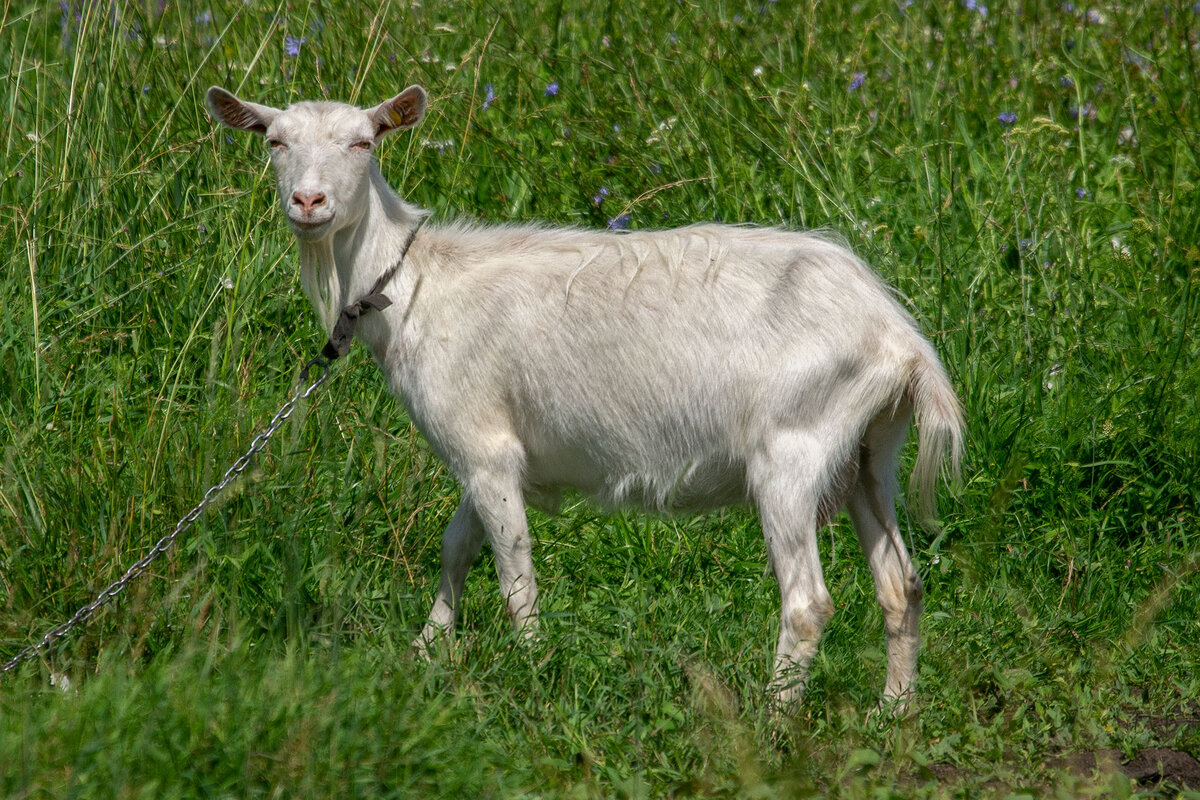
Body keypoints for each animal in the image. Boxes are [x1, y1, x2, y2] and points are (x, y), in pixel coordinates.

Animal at [208, 82, 964, 705]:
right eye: (274, 142)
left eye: (363, 141)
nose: (309, 202)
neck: (413, 286)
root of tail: (899, 338)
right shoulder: (487, 453)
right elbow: (458, 546)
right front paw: (426, 651)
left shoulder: (482, 447)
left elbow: (514, 573)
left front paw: (534, 672)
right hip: (868, 452)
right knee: (901, 585)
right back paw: (895, 712)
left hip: (793, 450)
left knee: (807, 603)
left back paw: (774, 721)